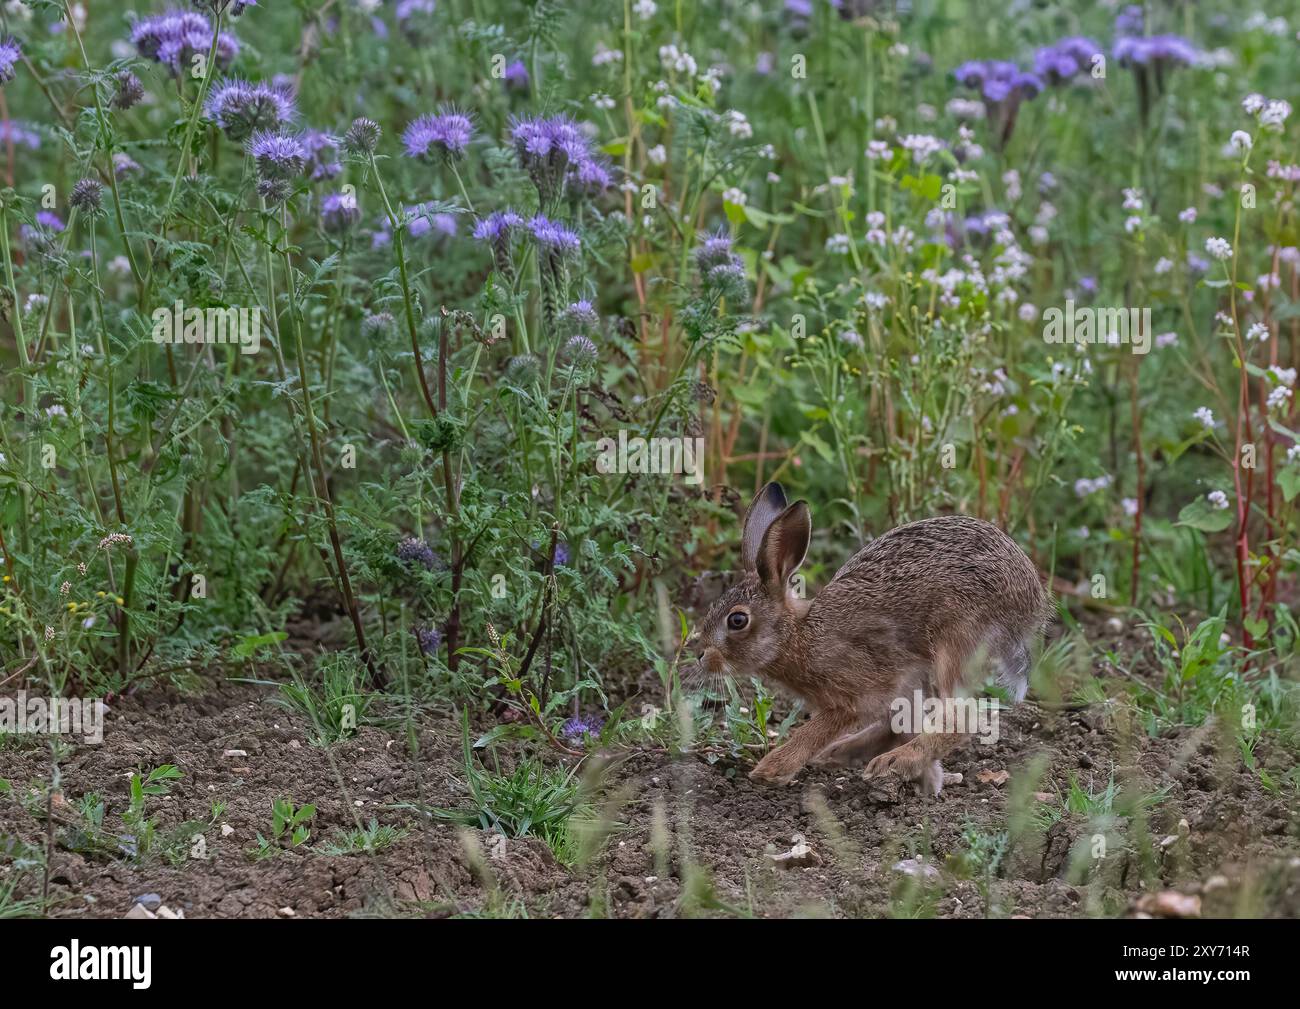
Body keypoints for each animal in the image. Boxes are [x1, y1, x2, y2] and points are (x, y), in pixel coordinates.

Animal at [687, 482, 1049, 795]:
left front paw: (771, 769)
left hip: (955, 641)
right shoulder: (904, 683)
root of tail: (1030, 598)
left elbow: (814, 730)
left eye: (737, 620)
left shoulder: (854, 696)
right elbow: (902, 722)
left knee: (962, 718)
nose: (702, 655)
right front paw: (929, 780)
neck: (798, 635)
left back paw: (891, 762)